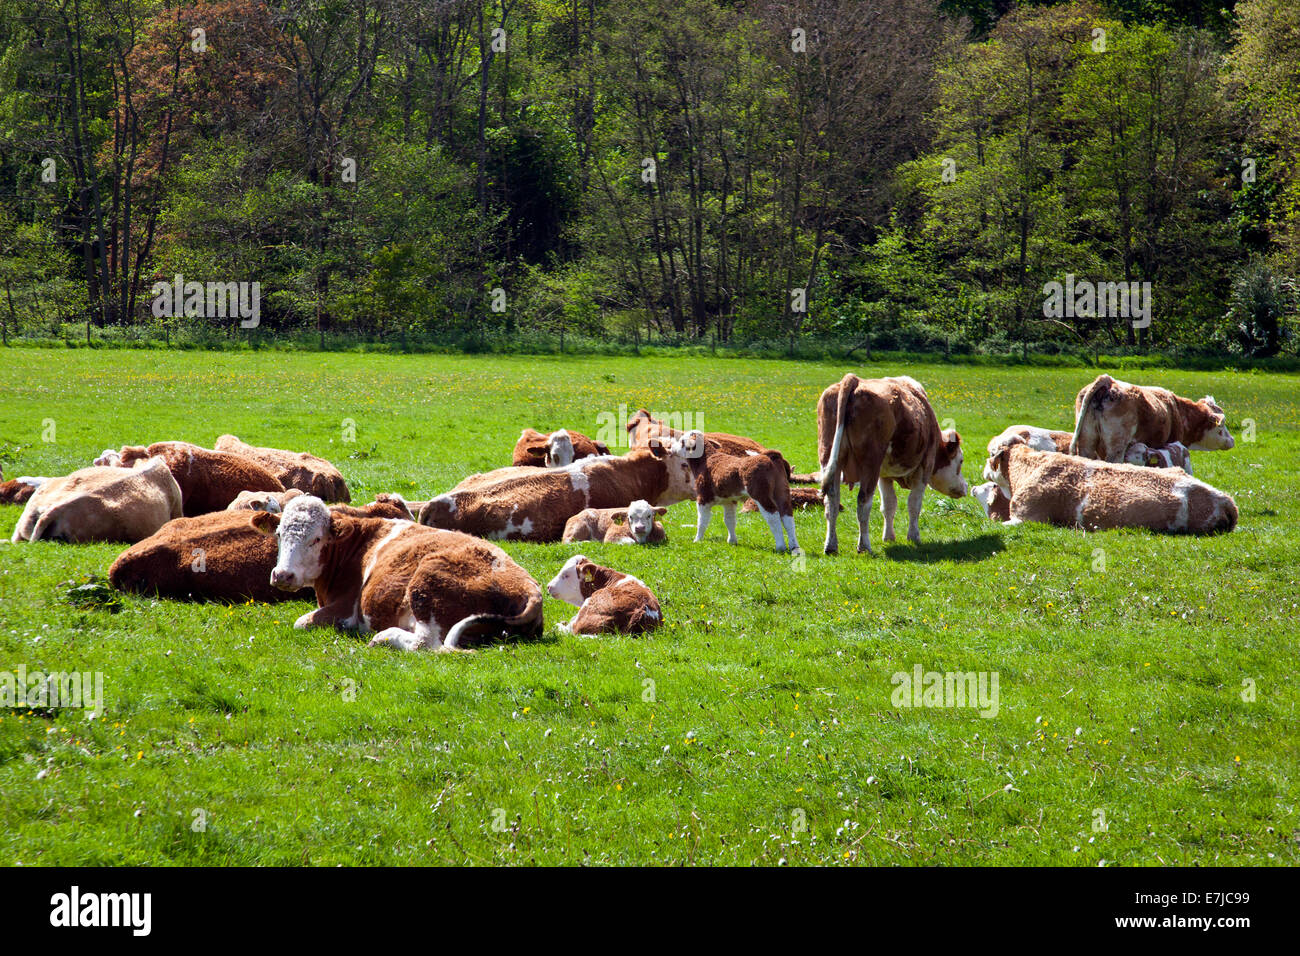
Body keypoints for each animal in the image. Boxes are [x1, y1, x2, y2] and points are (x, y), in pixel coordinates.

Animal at [250, 495, 544, 652]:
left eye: (317, 539)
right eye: (279, 534)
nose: (283, 575)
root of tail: (529, 587)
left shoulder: (345, 609)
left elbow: (302, 622)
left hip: (427, 583)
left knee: (425, 643)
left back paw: (385, 636)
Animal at [817, 374, 969, 555]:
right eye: (960, 461)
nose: (965, 486)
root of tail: (854, 379)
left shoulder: (884, 475)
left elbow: (889, 505)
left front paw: (888, 537)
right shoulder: (925, 466)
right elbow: (914, 504)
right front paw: (914, 537)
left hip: (829, 457)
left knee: (831, 502)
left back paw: (830, 545)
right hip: (870, 463)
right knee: (863, 502)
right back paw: (864, 546)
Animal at [1070, 375, 1234, 463]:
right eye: (1221, 426)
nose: (1232, 440)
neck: (1178, 411)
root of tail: (1108, 380)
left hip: (1086, 441)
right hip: (1116, 447)